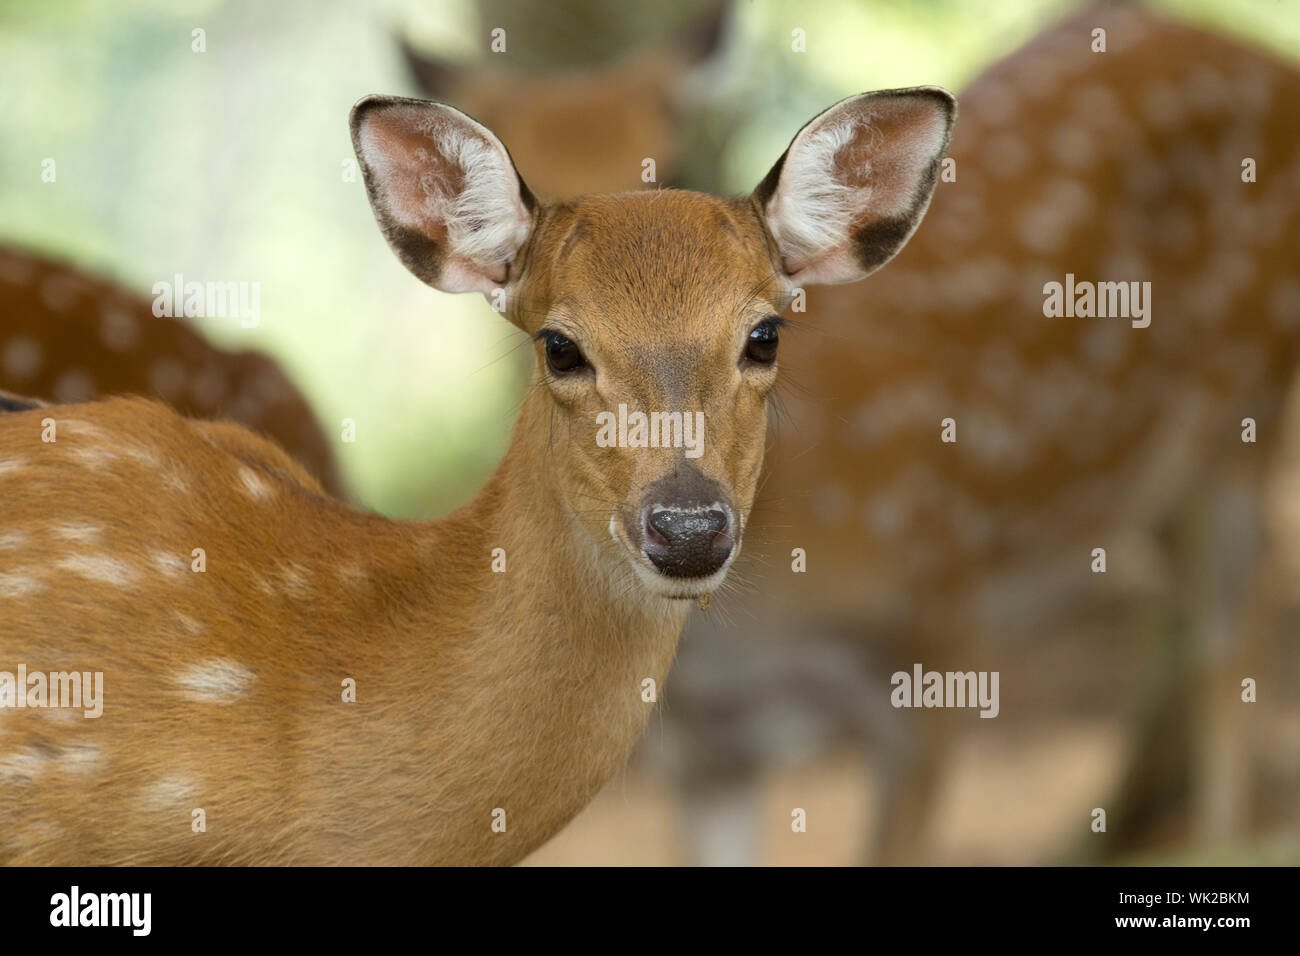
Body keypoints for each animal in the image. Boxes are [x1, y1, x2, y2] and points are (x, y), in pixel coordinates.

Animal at [662, 1, 1300, 865]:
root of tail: (1273, 63)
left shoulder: (939, 634)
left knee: (1239, 626)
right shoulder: (702, 752)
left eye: (763, 331)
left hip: (1248, 400)